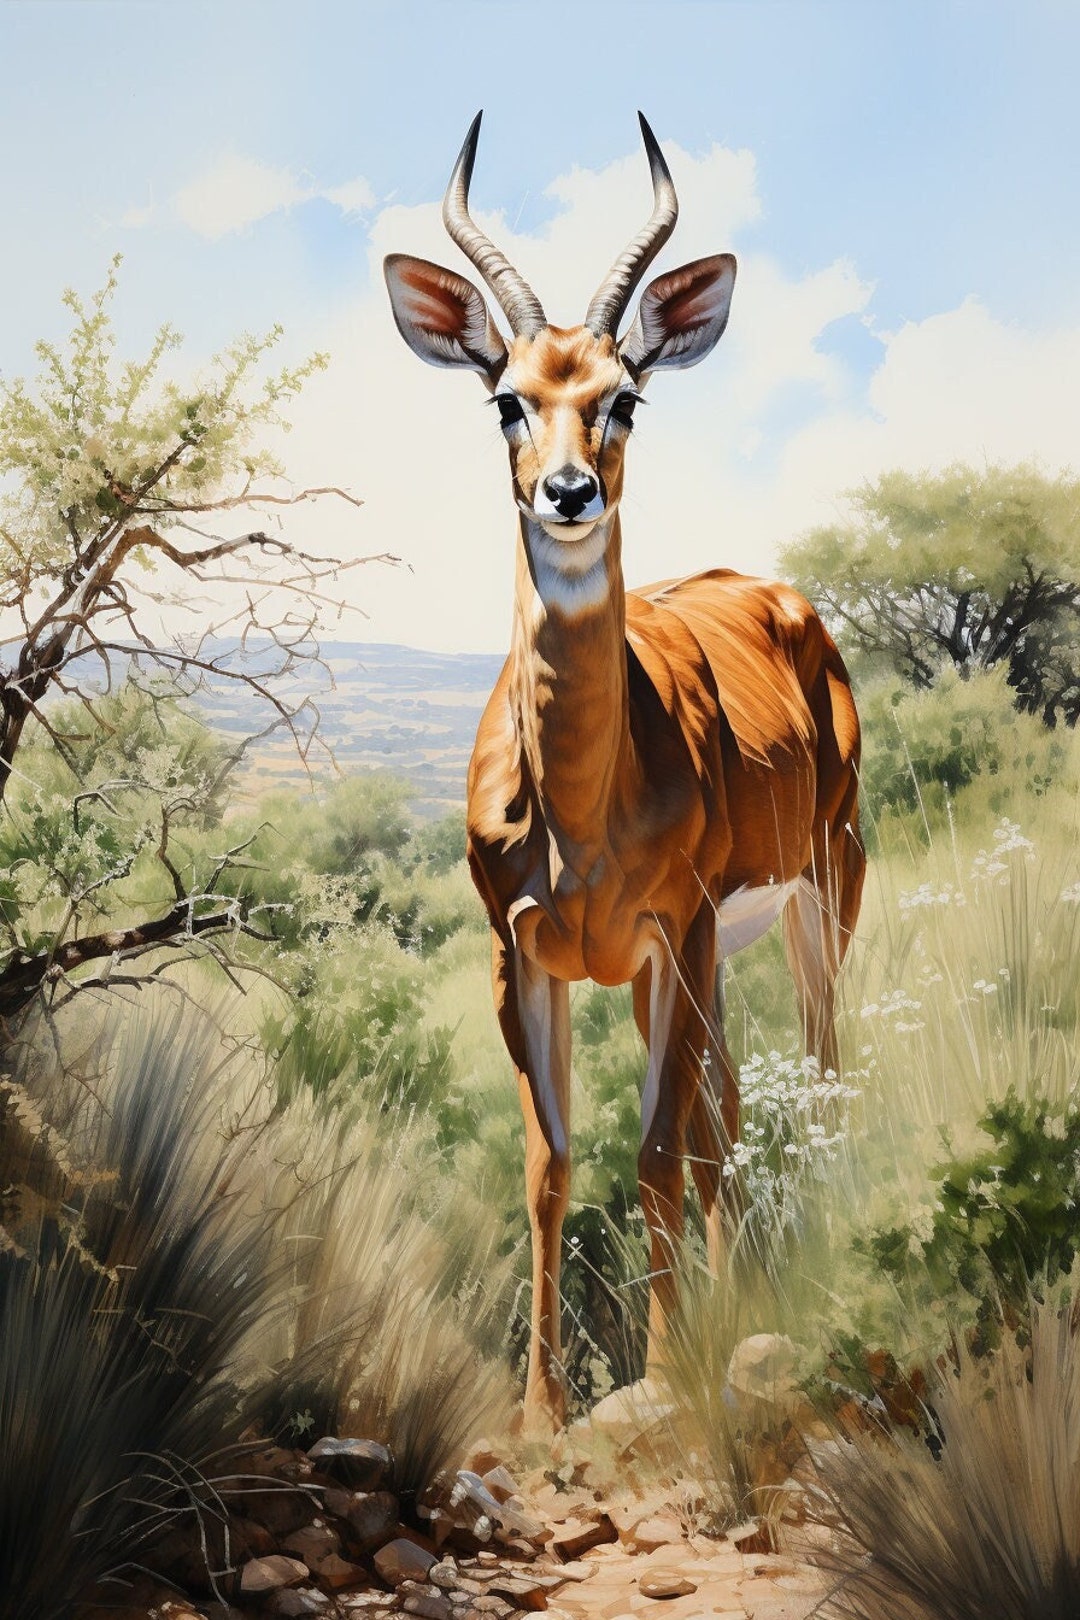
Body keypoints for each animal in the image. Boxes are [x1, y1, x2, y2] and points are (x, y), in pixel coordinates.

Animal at [385, 113, 865, 1428]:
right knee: (731, 1113)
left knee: (813, 1075)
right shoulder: (524, 955)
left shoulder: (675, 927)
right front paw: (542, 1413)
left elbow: (653, 1151)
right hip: (694, 968)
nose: (568, 492)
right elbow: (554, 1164)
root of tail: (783, 599)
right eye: (508, 397)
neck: (578, 810)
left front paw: (662, 1373)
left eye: (625, 397)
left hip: (815, 900)